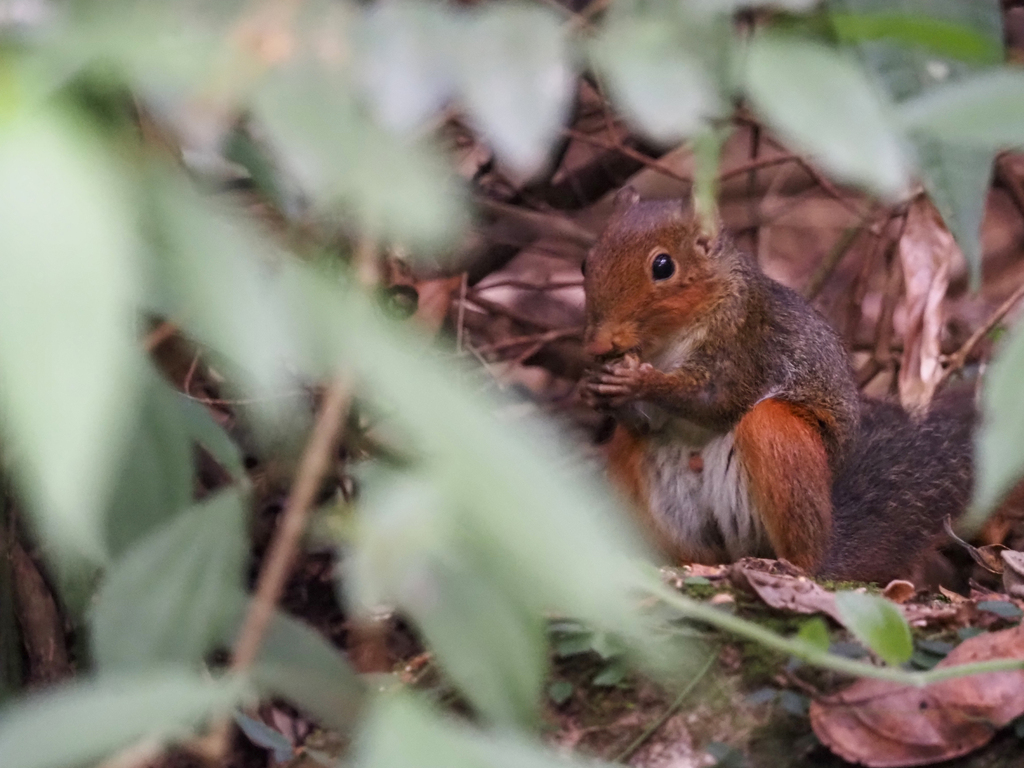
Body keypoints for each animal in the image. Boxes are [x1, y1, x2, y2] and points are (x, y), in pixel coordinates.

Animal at [580, 187, 973, 584]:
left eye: (663, 266)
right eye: (586, 262)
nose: (597, 345)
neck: (669, 337)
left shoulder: (747, 343)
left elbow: (717, 399)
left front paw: (640, 379)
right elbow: (646, 418)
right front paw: (591, 386)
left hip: (778, 438)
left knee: (804, 552)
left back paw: (785, 566)